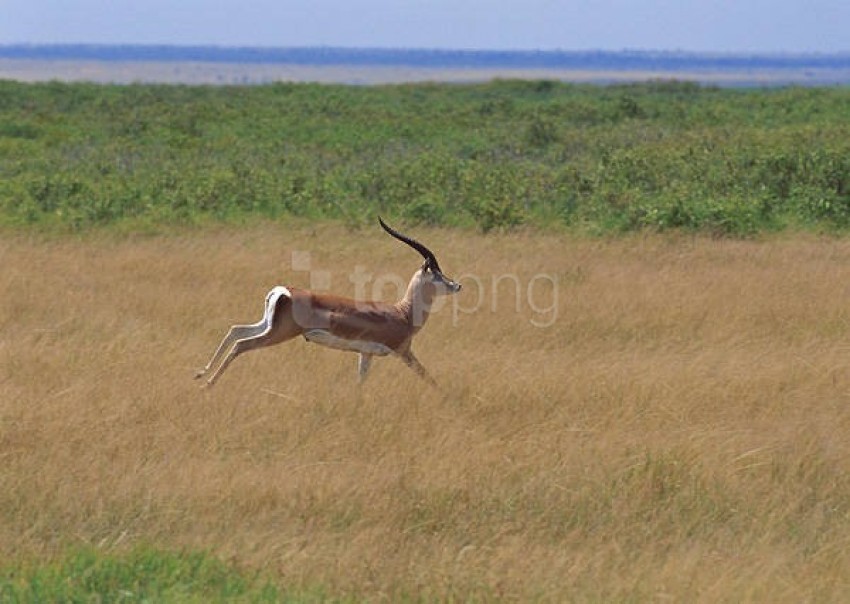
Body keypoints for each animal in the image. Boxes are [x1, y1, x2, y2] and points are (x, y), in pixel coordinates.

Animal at [195, 218, 461, 388]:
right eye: (437, 273)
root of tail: (284, 291)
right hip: (280, 333)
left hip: (268, 325)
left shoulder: (366, 354)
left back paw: (200, 373)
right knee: (241, 344)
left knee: (235, 330)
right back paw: (207, 384)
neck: (403, 313)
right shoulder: (403, 351)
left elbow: (360, 384)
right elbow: (429, 378)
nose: (457, 285)